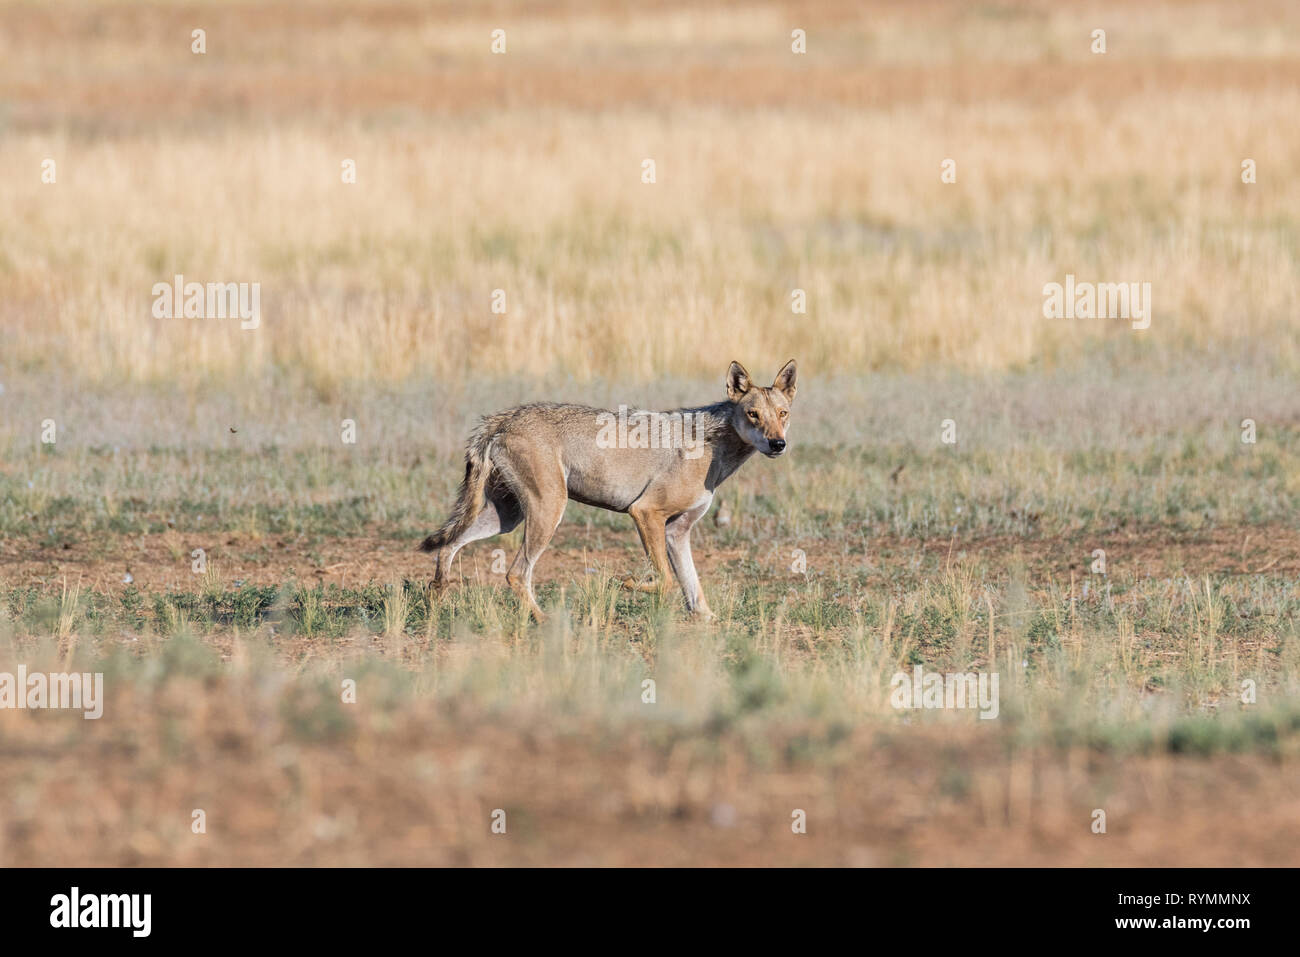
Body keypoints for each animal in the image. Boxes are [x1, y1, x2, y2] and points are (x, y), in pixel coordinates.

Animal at [420, 359, 797, 621]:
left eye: (782, 414)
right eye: (753, 414)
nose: (778, 444)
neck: (713, 447)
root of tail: (503, 418)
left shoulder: (677, 531)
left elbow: (692, 587)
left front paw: (709, 621)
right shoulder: (645, 513)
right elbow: (666, 580)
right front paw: (627, 583)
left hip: (506, 518)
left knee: (449, 546)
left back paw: (437, 599)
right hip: (547, 513)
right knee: (515, 574)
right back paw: (544, 621)